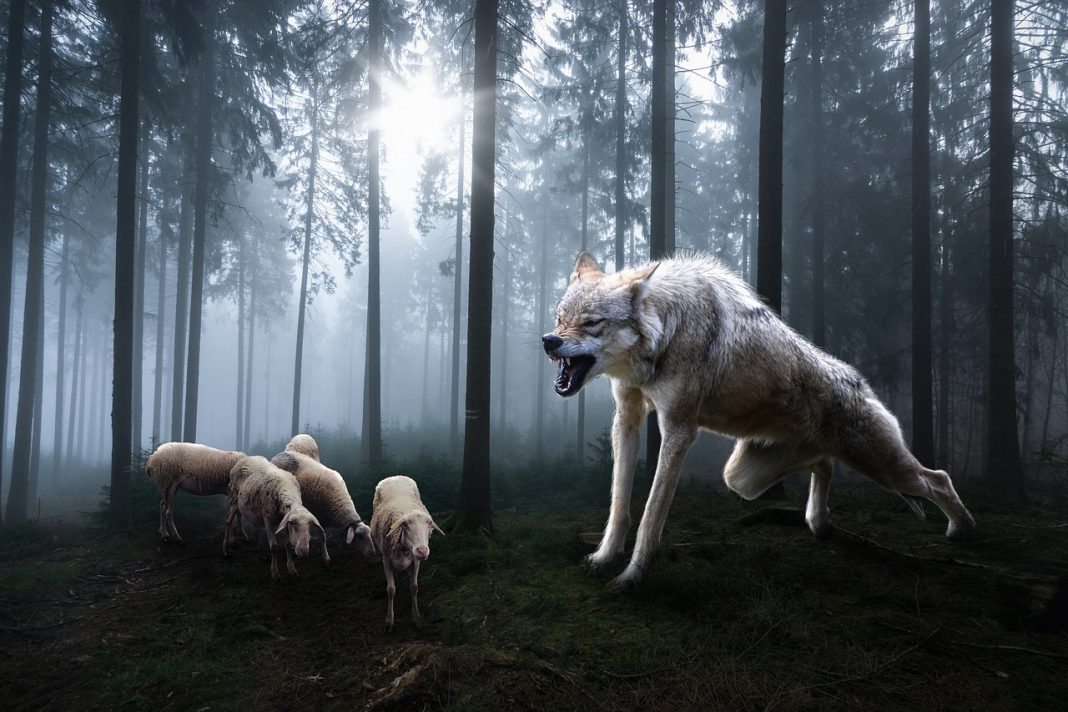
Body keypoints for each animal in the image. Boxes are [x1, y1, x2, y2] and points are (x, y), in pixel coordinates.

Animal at [369, 475, 444, 630]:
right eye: (405, 525)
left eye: (430, 524)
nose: (422, 550)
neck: (404, 550)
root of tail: (394, 476)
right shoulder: (386, 560)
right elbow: (391, 590)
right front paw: (389, 620)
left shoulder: (416, 561)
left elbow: (414, 588)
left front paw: (416, 617)